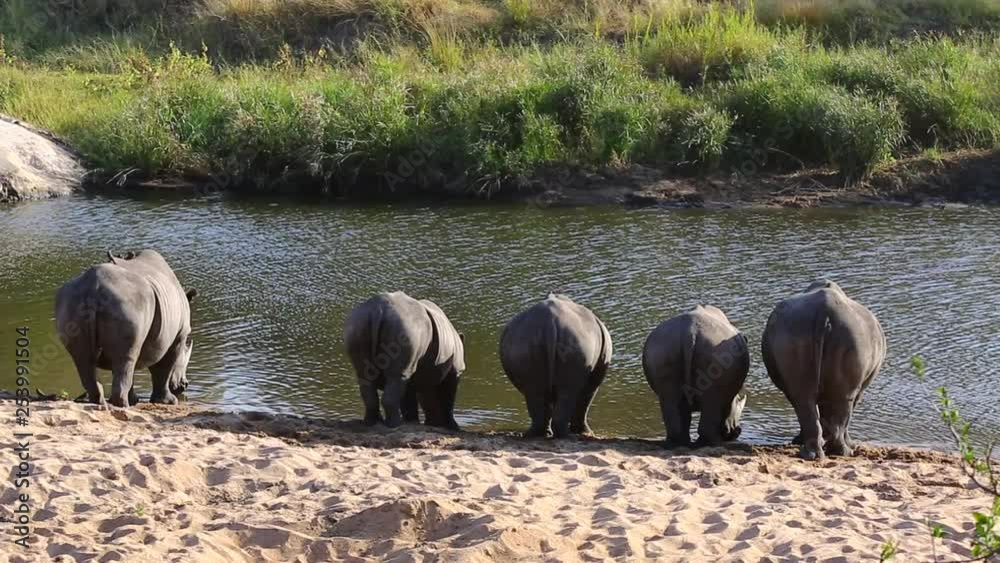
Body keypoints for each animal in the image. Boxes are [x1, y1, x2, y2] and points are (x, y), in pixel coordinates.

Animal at [55, 250, 197, 408]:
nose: (184, 385)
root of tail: (93, 287)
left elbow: (133, 370)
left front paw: (135, 400)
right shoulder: (178, 336)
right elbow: (163, 368)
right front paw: (168, 401)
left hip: (71, 301)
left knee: (85, 358)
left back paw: (100, 403)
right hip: (127, 304)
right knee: (124, 357)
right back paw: (122, 406)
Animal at [344, 292, 465, 430]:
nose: (436, 423)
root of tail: (378, 309)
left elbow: (411, 398)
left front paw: (413, 421)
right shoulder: (455, 372)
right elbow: (448, 398)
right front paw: (453, 427)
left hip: (358, 323)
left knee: (367, 376)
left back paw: (372, 422)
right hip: (404, 329)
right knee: (397, 377)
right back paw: (395, 424)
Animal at [499, 294, 612, 438]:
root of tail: (550, 323)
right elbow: (586, 400)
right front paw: (586, 432)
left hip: (523, 341)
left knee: (534, 392)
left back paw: (535, 434)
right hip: (575, 342)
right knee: (569, 392)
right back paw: (568, 436)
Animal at [642, 305, 749, 448]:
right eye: (738, 403)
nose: (736, 432)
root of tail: (690, 331)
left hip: (662, 348)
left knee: (670, 399)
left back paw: (678, 444)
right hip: (716, 352)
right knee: (712, 401)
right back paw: (713, 443)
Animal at [762, 280, 887, 460]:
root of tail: (825, 311)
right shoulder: (860, 389)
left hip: (795, 335)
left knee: (803, 399)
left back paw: (813, 454)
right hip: (852, 338)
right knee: (843, 402)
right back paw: (843, 451)